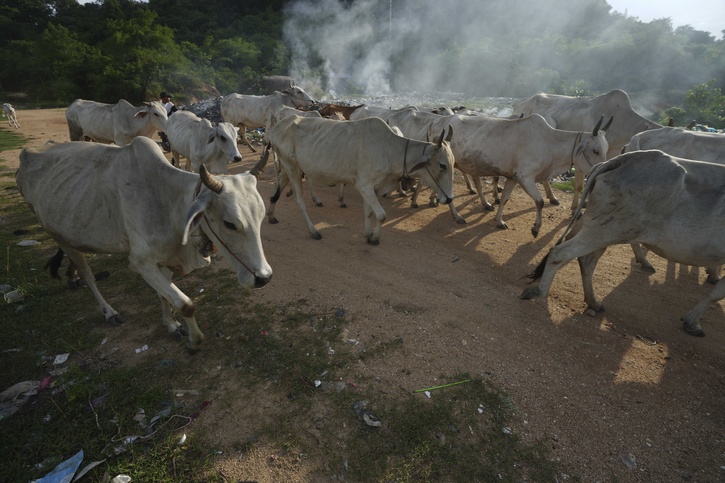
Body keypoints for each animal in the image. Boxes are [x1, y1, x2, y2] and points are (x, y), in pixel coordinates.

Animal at [16, 137, 272, 351]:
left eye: (261, 217)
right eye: (230, 223)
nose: (264, 278)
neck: (168, 202)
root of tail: (26, 155)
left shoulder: (165, 258)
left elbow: (164, 296)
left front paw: (172, 325)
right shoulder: (141, 263)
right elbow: (185, 304)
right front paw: (194, 340)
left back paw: (72, 277)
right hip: (54, 232)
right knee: (88, 274)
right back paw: (108, 312)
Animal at [265, 115, 455, 244]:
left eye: (453, 164)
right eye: (442, 165)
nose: (449, 198)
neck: (390, 149)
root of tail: (277, 127)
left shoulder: (372, 187)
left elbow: (368, 212)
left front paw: (368, 235)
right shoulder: (364, 185)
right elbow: (381, 215)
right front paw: (375, 236)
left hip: (290, 167)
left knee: (276, 191)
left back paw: (271, 215)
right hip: (293, 168)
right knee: (299, 201)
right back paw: (313, 231)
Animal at [426, 113, 611, 236]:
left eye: (606, 149)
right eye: (595, 150)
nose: (602, 170)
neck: (549, 143)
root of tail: (437, 121)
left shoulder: (513, 177)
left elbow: (505, 199)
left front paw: (499, 220)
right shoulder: (525, 177)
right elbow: (540, 202)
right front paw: (536, 227)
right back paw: (456, 215)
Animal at [521, 150, 725, 337]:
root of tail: (622, 159)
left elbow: (717, 291)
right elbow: (718, 293)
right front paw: (693, 322)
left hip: (604, 231)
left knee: (585, 261)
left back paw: (593, 301)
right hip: (603, 232)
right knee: (560, 253)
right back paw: (539, 291)